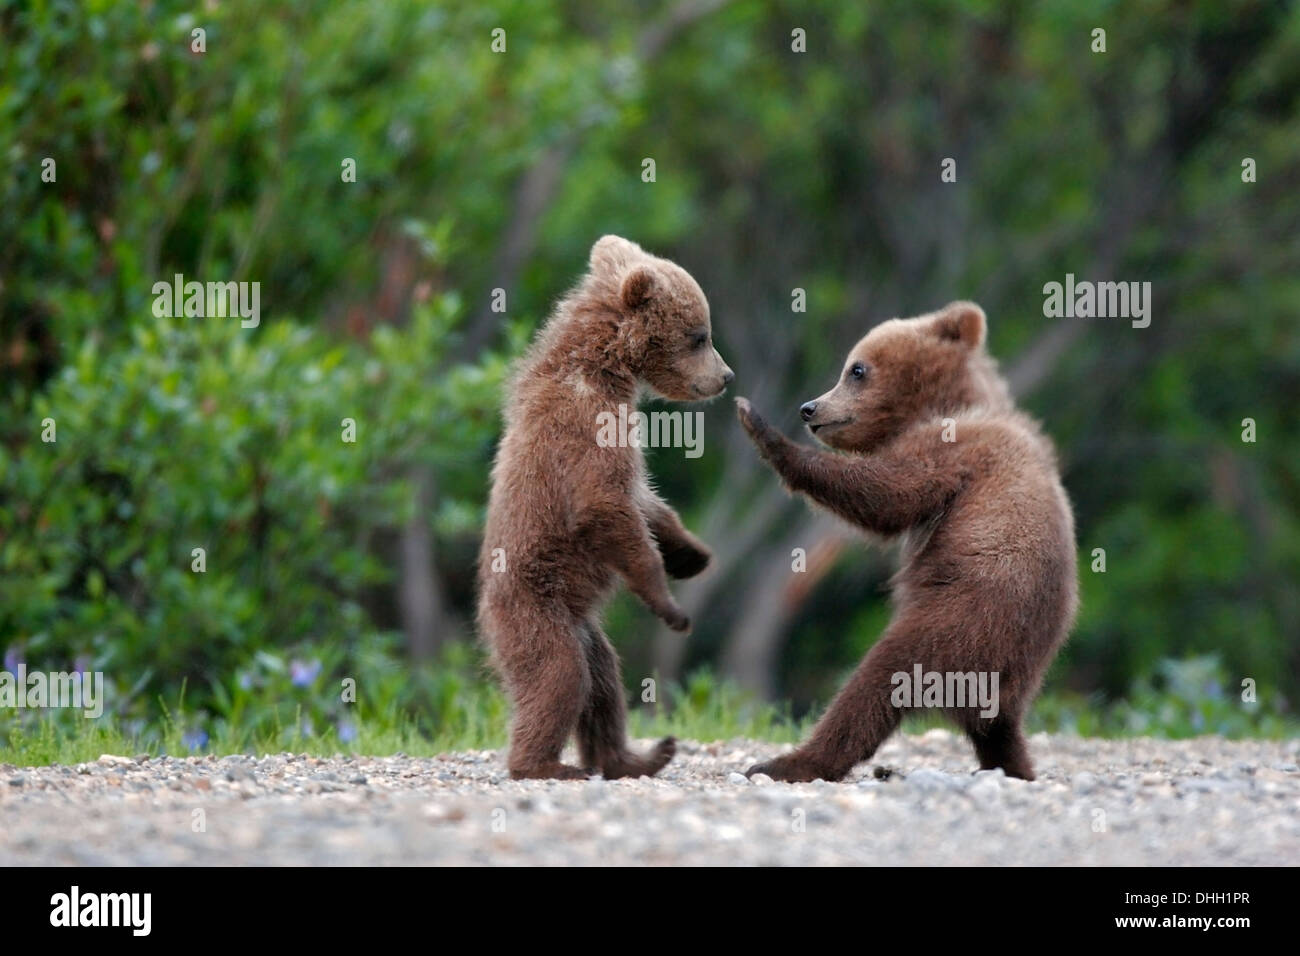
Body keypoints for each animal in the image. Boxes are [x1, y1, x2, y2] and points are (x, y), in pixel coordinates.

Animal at [478, 234, 734, 780]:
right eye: (700, 335)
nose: (725, 376)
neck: (606, 366)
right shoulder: (586, 425)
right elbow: (604, 505)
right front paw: (671, 606)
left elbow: (645, 500)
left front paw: (692, 554)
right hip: (536, 609)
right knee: (559, 676)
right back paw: (544, 765)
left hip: (584, 627)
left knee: (603, 683)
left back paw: (637, 756)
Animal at [734, 301, 1077, 782]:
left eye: (856, 369)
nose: (809, 407)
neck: (947, 404)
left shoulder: (953, 452)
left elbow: (888, 493)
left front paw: (759, 425)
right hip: (1010, 664)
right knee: (998, 728)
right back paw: (1014, 766)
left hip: (959, 622)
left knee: (877, 681)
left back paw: (789, 761)